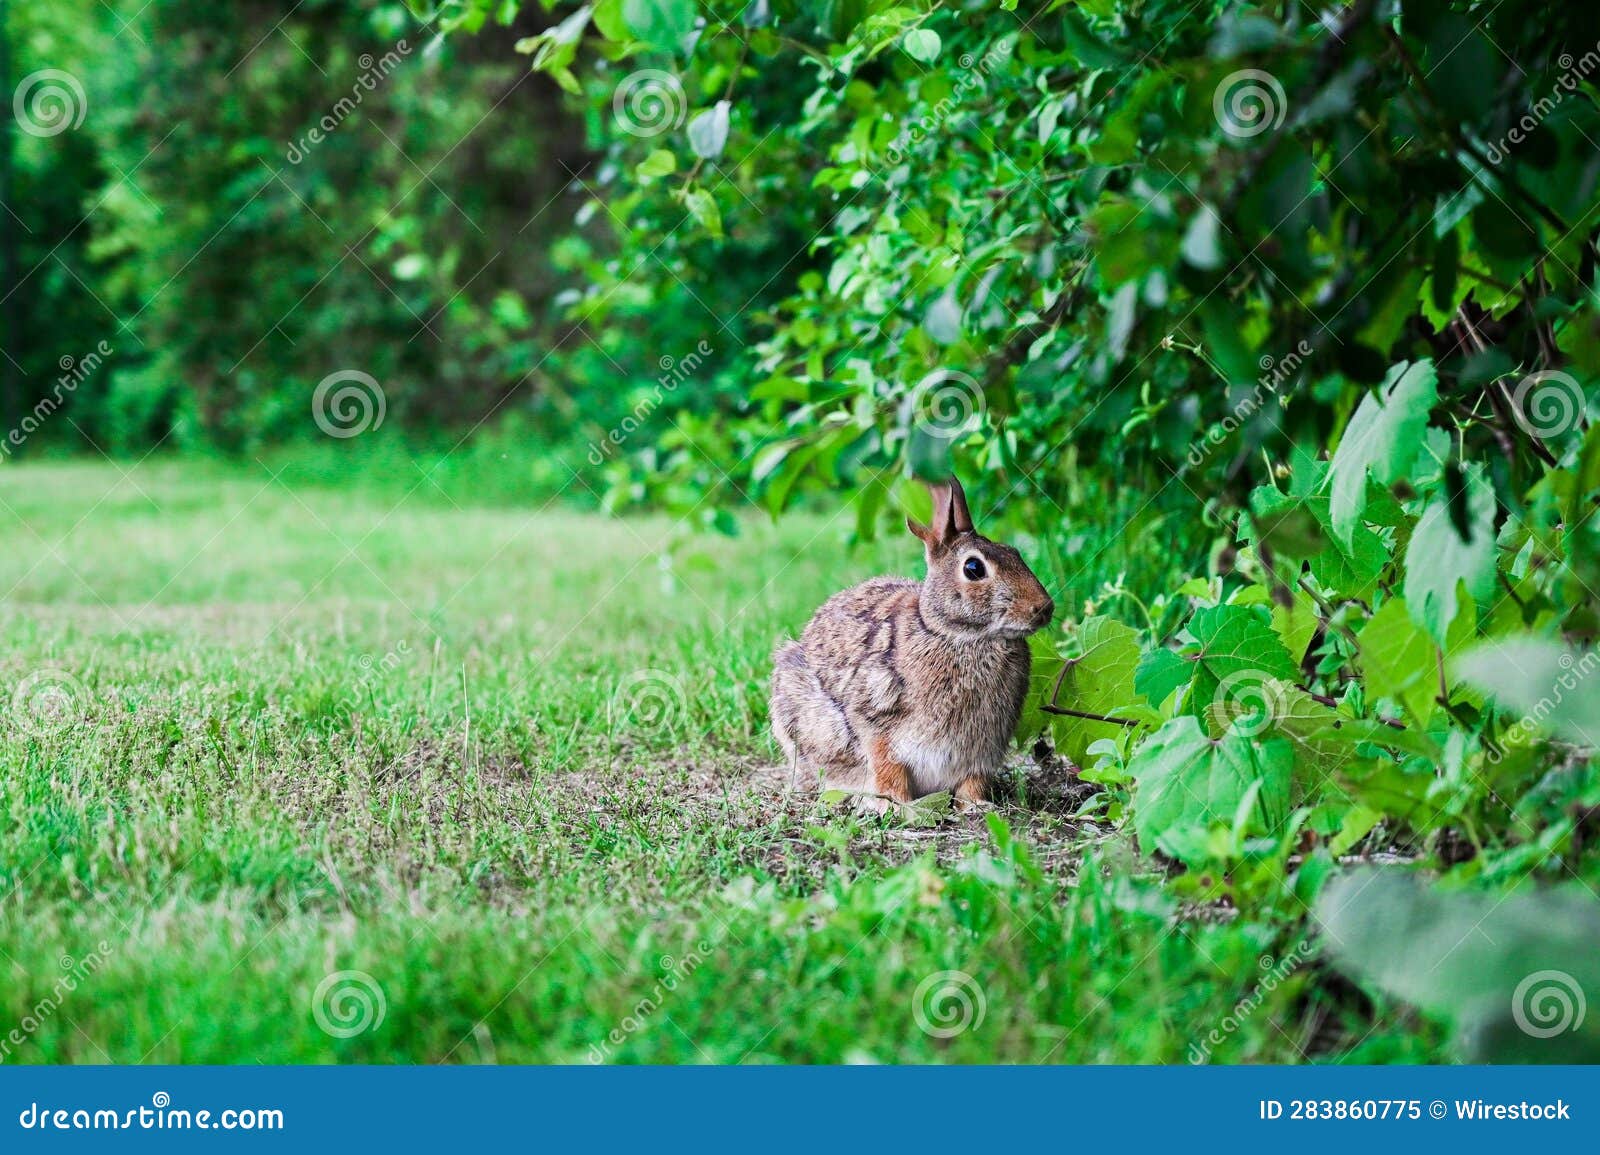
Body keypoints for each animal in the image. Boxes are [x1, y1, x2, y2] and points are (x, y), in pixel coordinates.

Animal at [770, 475, 1054, 811]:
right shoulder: (877, 721)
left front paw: (977, 806)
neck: (955, 634)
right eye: (973, 568)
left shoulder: (981, 752)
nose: (1044, 608)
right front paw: (896, 805)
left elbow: (972, 782)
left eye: (1015, 552)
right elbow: (888, 767)